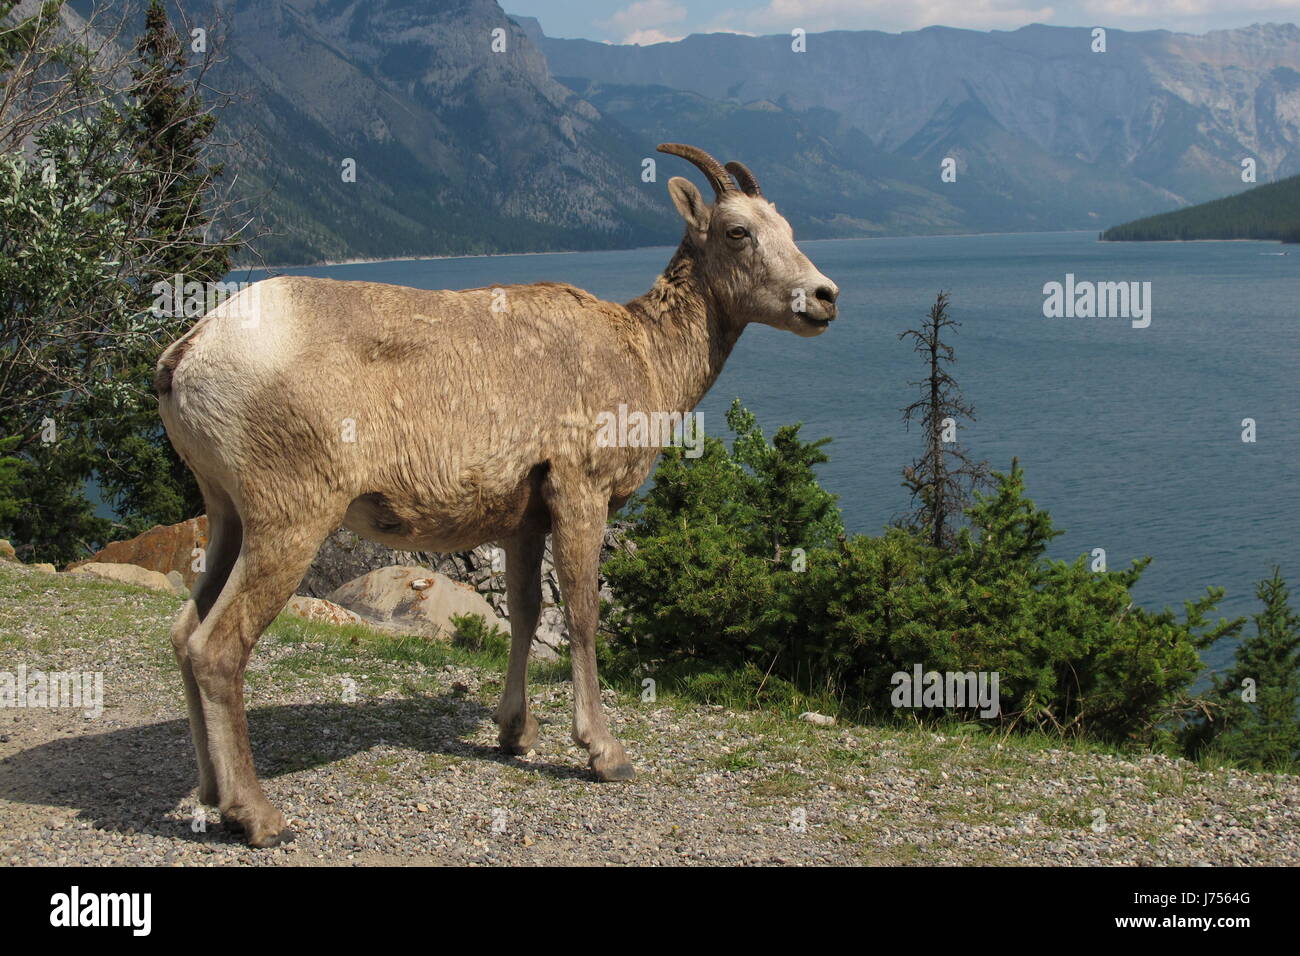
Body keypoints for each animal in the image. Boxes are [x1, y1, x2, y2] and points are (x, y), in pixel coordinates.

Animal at [156, 144, 840, 846]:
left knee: (184, 632)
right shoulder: (579, 490)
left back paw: (211, 796)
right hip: (289, 517)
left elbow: (528, 613)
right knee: (217, 647)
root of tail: (187, 356)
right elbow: (582, 616)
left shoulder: (523, 521)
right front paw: (605, 755)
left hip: (227, 513)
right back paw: (260, 818)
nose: (824, 297)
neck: (646, 362)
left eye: (787, 226)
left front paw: (516, 735)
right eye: (737, 230)